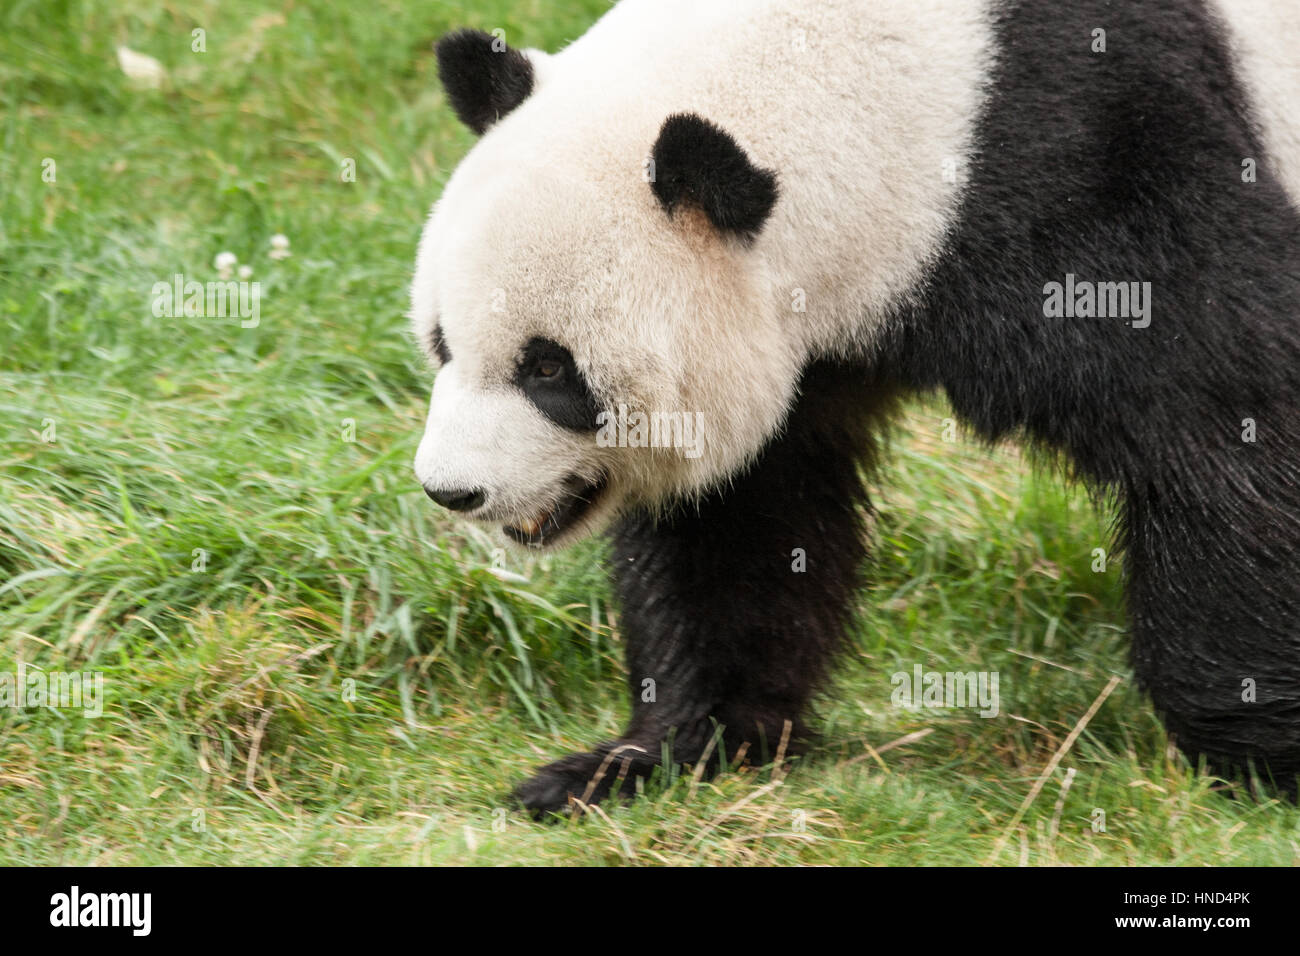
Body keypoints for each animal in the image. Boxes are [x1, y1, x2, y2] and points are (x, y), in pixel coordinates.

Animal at [410, 0, 1300, 814]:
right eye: (443, 342)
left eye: (549, 369)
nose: (451, 491)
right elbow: (742, 527)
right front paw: (651, 755)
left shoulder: (1099, 165)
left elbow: (1223, 423)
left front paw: (1258, 749)